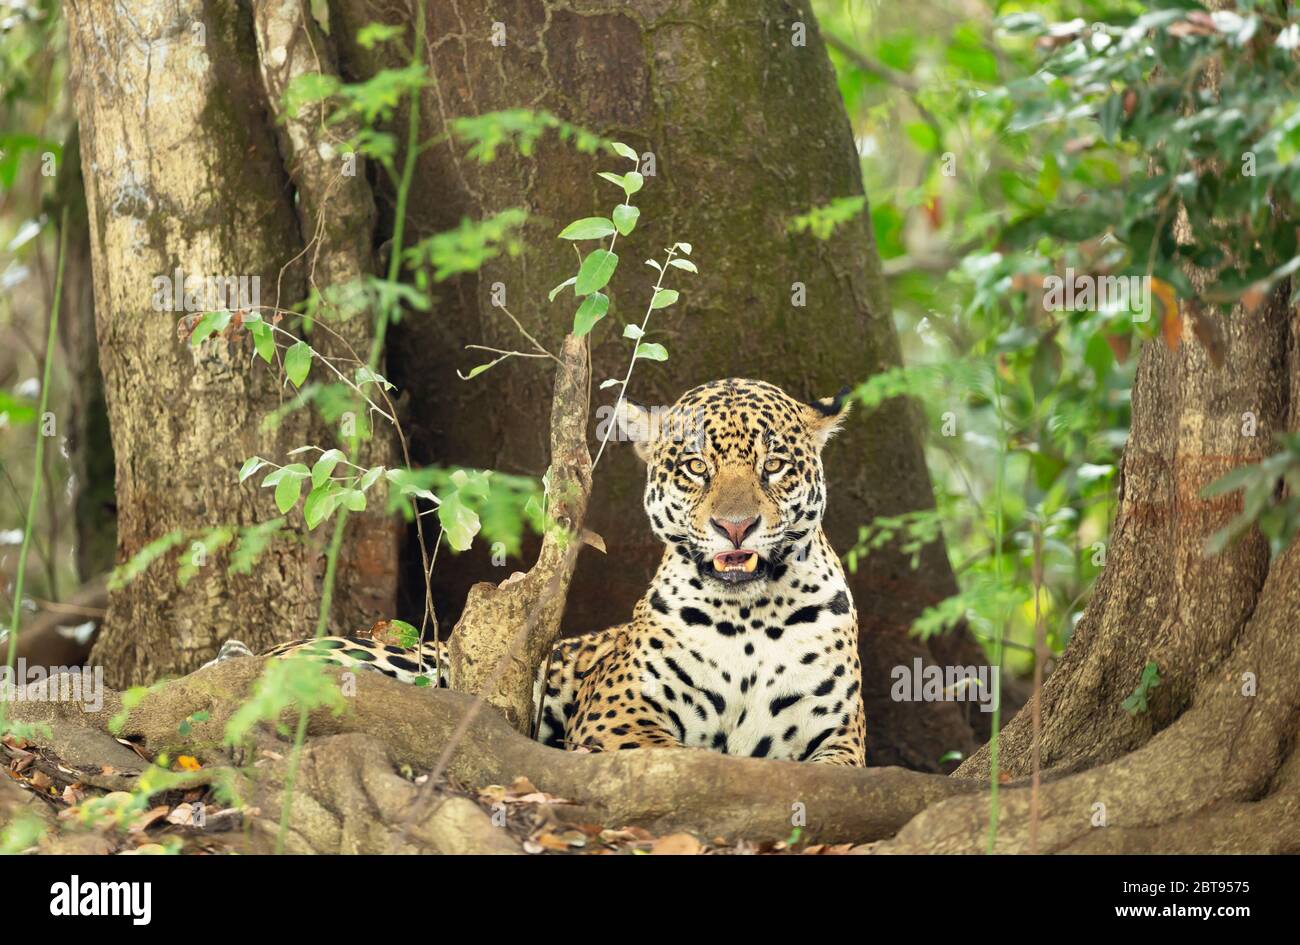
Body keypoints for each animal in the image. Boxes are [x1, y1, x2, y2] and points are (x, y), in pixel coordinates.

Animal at [212, 378, 865, 767]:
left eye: (774, 465)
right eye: (695, 468)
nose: (736, 527)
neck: (751, 615)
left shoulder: (841, 739)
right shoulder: (619, 714)